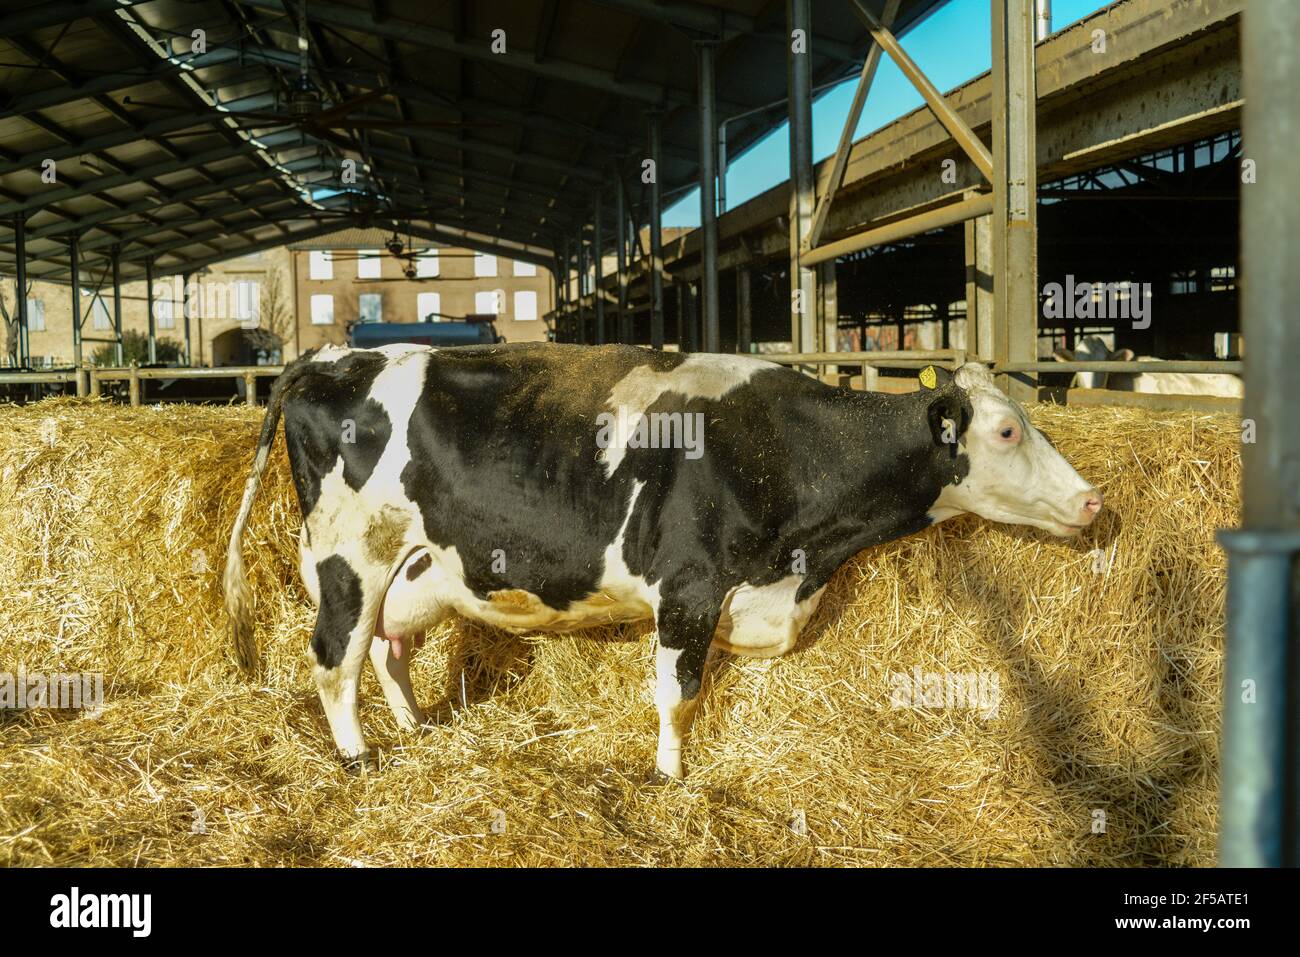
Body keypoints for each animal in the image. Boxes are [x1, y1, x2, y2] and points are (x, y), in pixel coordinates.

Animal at [225, 342, 1102, 779]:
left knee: (386, 646)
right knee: (333, 656)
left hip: (414, 564)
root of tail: (332, 356)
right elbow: (677, 695)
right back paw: (358, 757)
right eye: (1006, 431)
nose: (1095, 501)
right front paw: (669, 774)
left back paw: (415, 724)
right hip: (349, 553)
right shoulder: (689, 585)